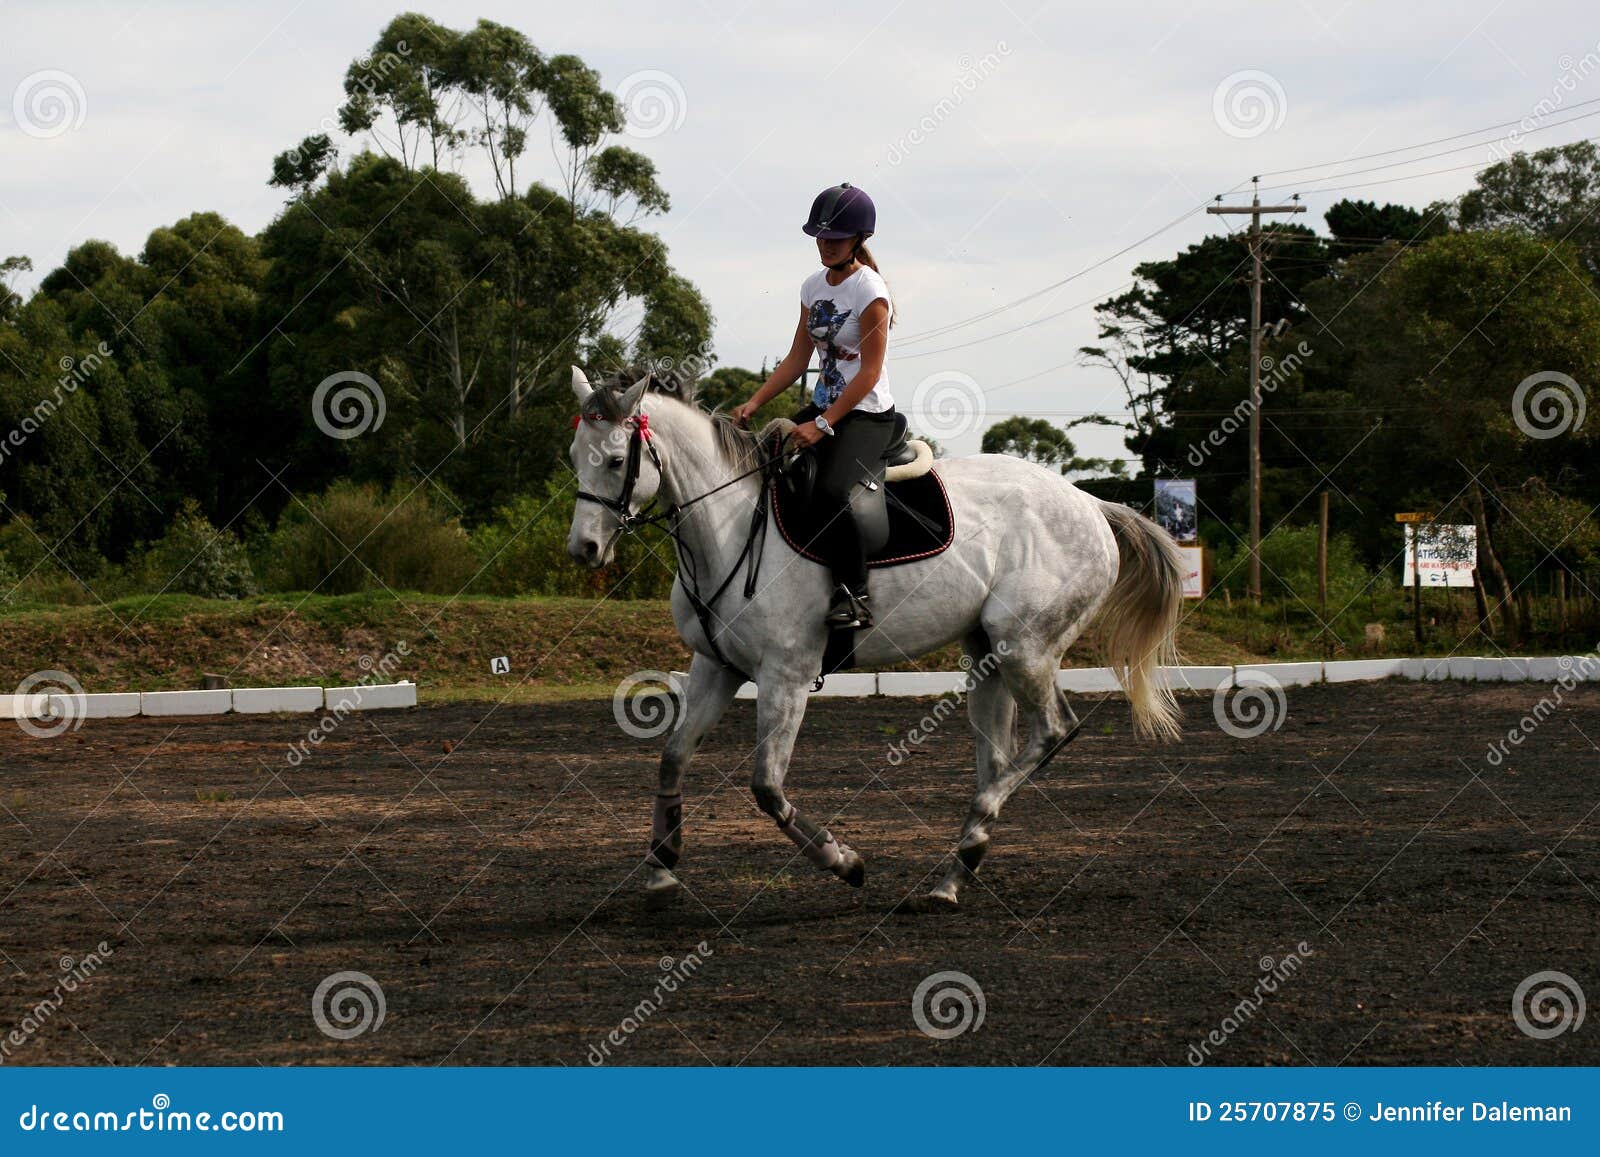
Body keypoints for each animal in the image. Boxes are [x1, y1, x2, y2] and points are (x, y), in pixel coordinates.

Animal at [565, 367, 1184, 911]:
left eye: (616, 461)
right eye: (574, 456)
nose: (584, 550)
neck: (730, 524)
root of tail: (1091, 505)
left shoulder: (786, 676)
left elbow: (767, 786)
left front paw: (844, 862)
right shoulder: (715, 667)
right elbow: (672, 759)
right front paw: (661, 870)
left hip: (1026, 648)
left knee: (1053, 731)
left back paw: (967, 843)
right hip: (987, 653)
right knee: (998, 755)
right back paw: (956, 873)